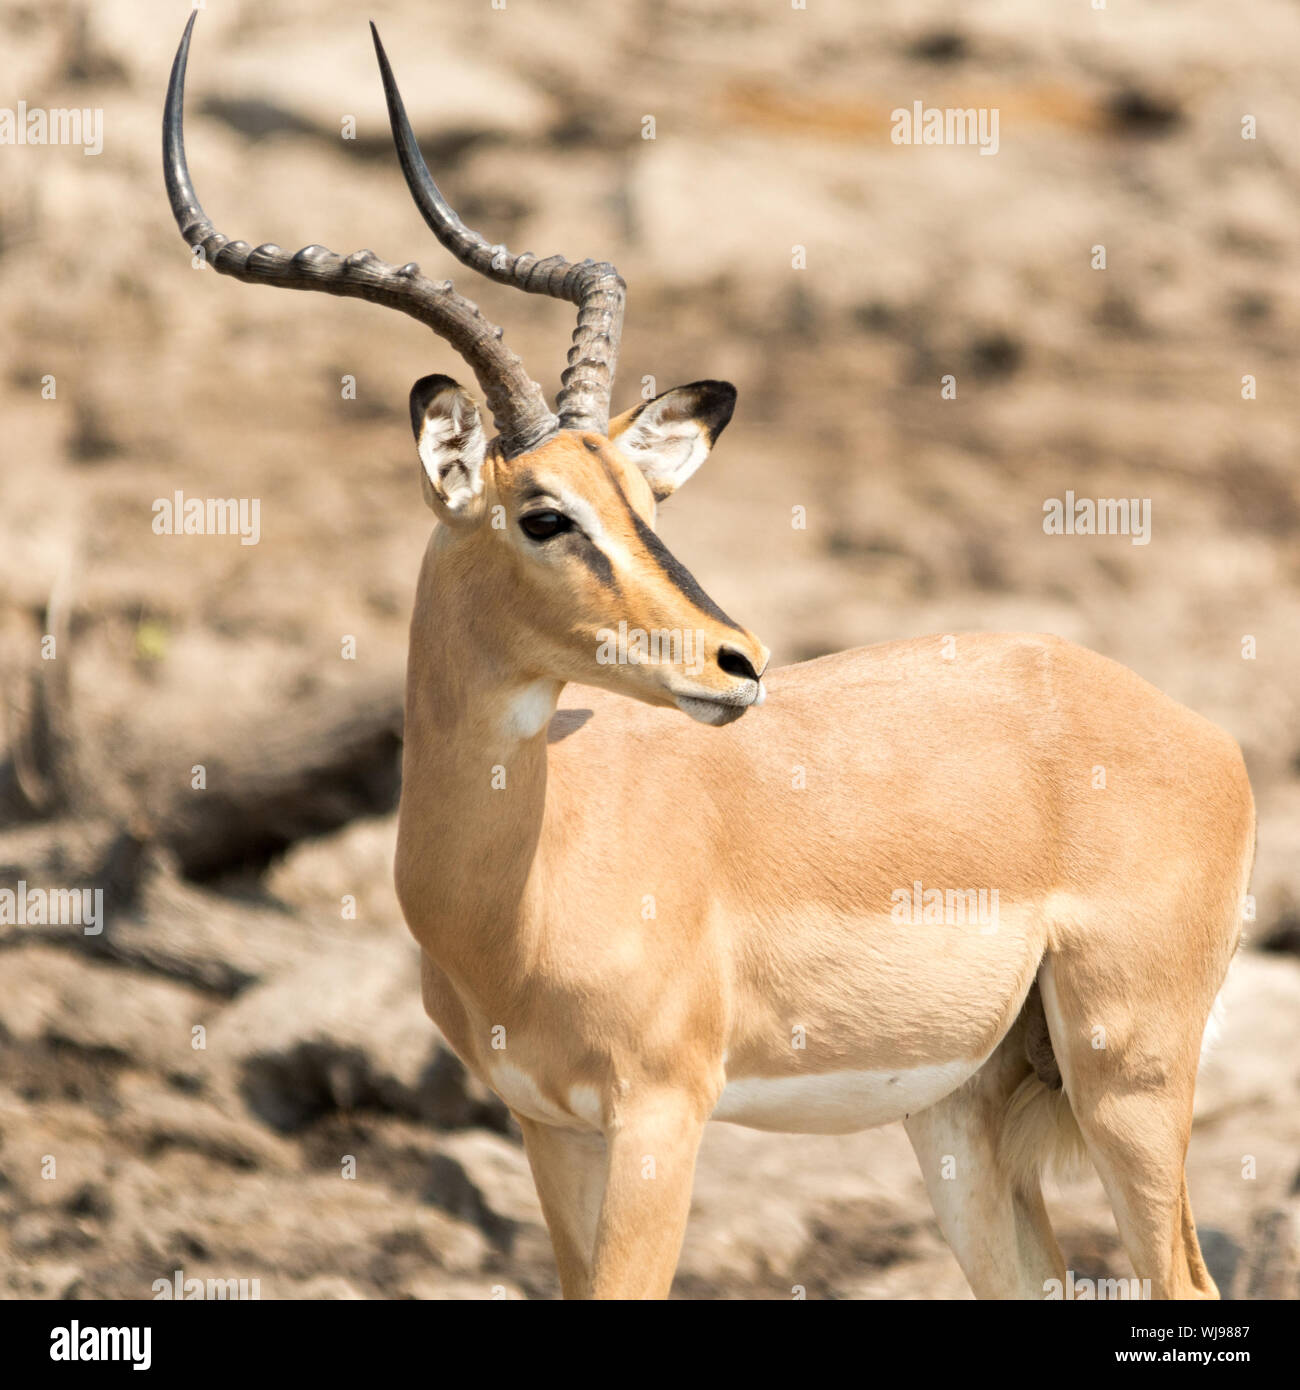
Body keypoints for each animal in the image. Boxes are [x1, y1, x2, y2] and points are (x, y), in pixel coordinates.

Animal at [164, 16, 1256, 1300]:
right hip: (960, 1115)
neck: (528, 880)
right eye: (546, 514)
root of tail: (1204, 735)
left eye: (643, 503)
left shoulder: (660, 1112)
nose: (736, 663)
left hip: (1125, 1075)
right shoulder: (550, 1124)